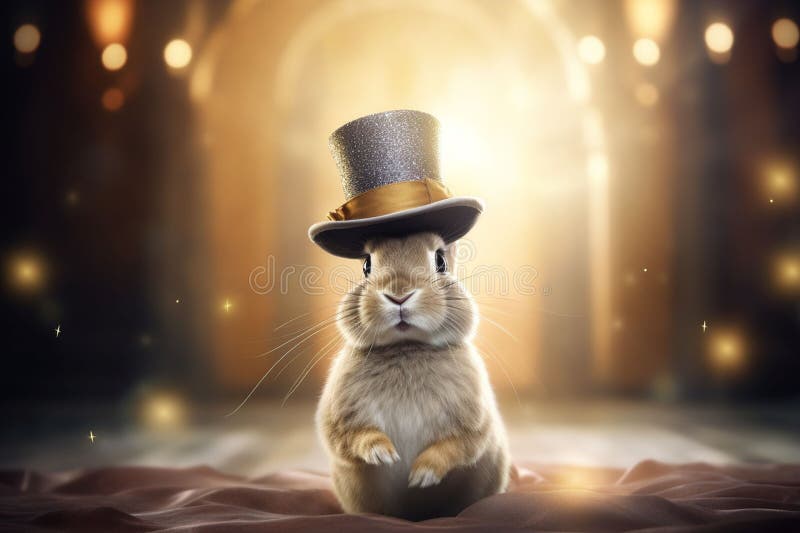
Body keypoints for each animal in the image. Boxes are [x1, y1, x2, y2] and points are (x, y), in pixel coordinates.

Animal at [316, 231, 510, 520]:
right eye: (366, 266)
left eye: (440, 261)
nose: (399, 295)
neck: (406, 345)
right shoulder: (340, 421)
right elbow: (357, 436)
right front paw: (383, 454)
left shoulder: (474, 427)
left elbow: (455, 446)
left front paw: (421, 475)